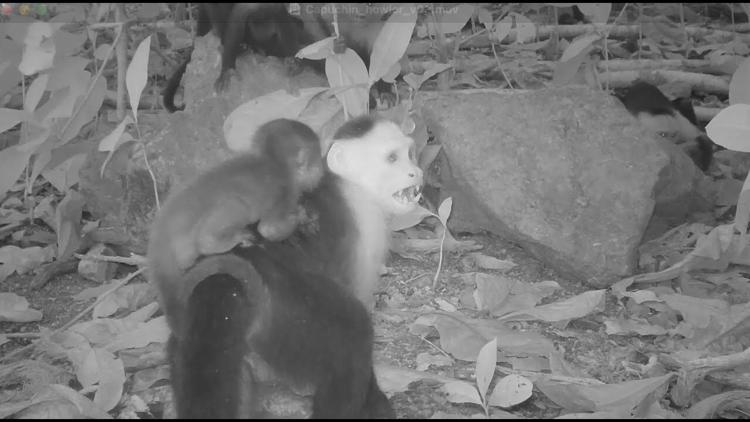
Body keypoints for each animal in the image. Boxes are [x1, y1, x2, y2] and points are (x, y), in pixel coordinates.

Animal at [147, 118, 324, 303]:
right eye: (318, 157)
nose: (321, 170)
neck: (274, 164)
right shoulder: (285, 193)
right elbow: (268, 230)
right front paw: (301, 216)